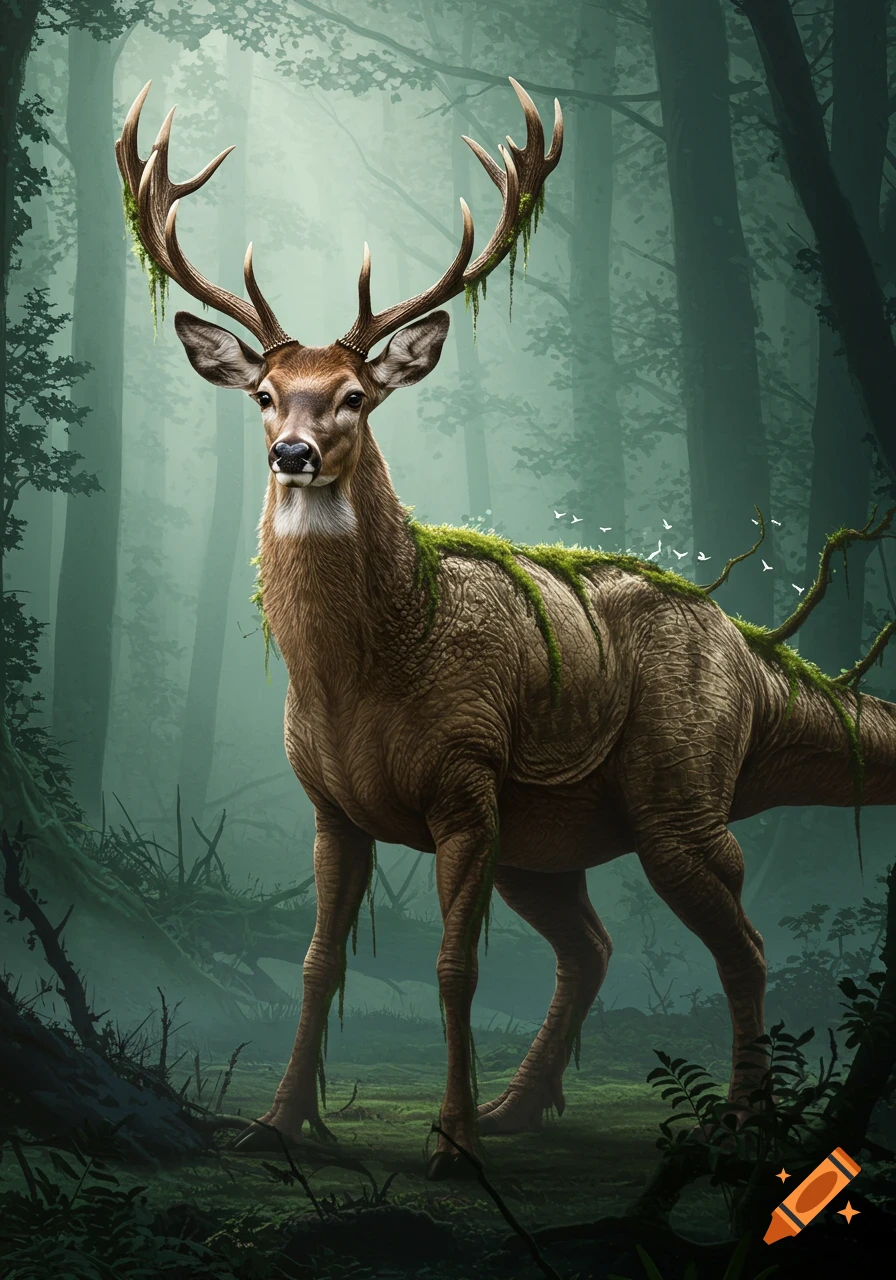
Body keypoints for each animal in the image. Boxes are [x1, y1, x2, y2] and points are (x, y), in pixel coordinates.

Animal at [117, 79, 896, 1181]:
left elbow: (454, 965)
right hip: (552, 837)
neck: (364, 677)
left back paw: (737, 1118)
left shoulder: (467, 779)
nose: (292, 453)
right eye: (264, 394)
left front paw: (447, 1142)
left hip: (679, 784)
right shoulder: (330, 805)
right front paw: (275, 1122)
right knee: (593, 945)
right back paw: (521, 1105)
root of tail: (748, 650)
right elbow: (315, 963)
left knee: (740, 943)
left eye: (356, 395)